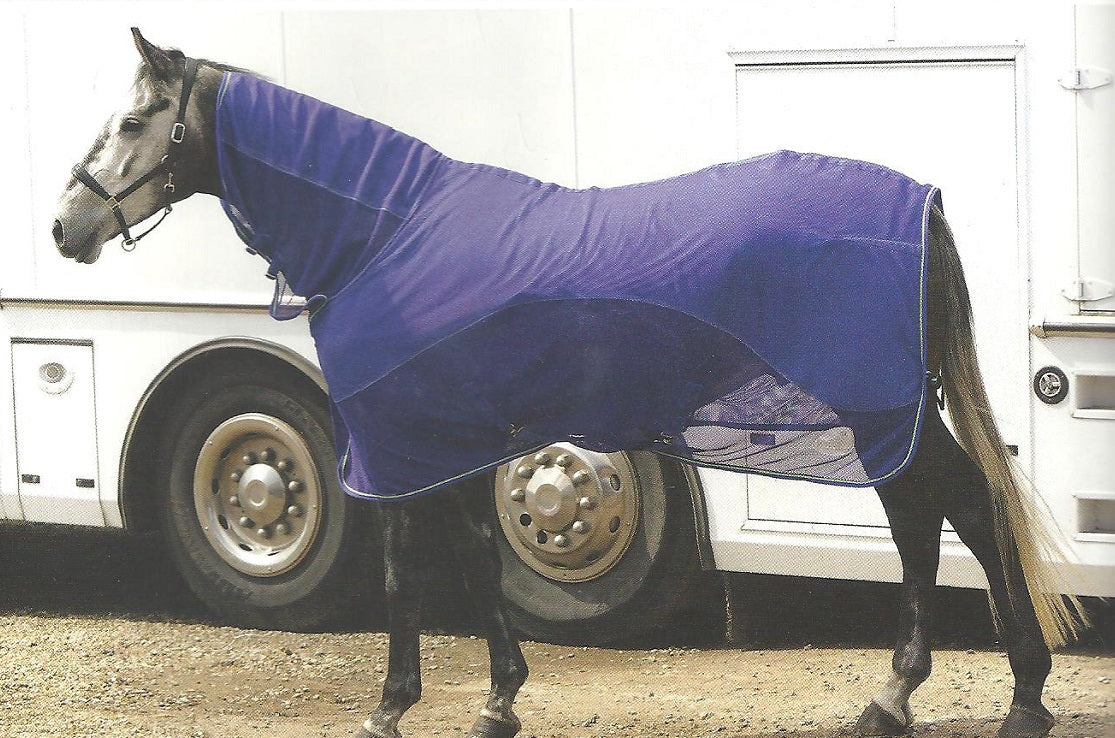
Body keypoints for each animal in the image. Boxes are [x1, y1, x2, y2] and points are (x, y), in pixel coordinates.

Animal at [51, 28, 1085, 738]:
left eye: (136, 121)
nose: (66, 227)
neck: (388, 233)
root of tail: (919, 202)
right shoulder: (453, 441)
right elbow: (475, 556)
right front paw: (498, 700)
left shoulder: (391, 442)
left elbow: (400, 572)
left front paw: (391, 706)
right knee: (943, 513)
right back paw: (957, 694)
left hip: (875, 412)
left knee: (947, 511)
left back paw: (962, 696)